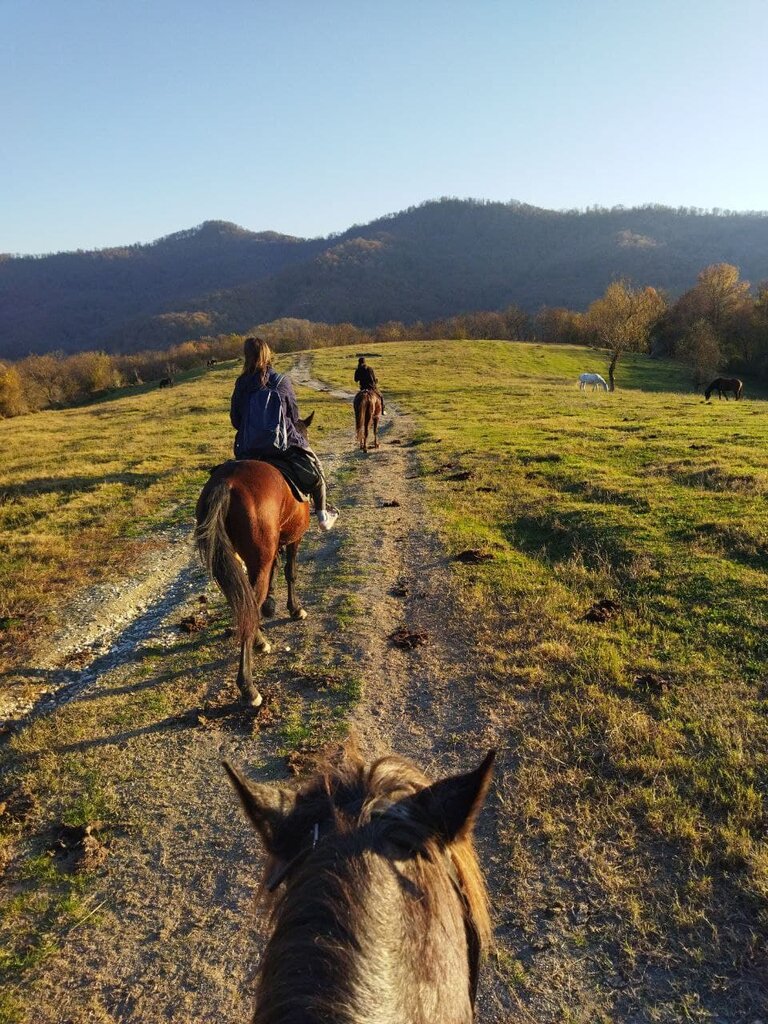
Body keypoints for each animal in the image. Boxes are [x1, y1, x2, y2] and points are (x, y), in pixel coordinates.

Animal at [195, 412, 315, 707]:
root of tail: (227, 483)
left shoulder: (271, 550)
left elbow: (275, 573)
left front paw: (271, 605)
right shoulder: (293, 540)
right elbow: (290, 572)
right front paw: (295, 609)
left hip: (237, 559)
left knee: (245, 603)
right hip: (258, 558)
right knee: (249, 606)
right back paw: (249, 685)